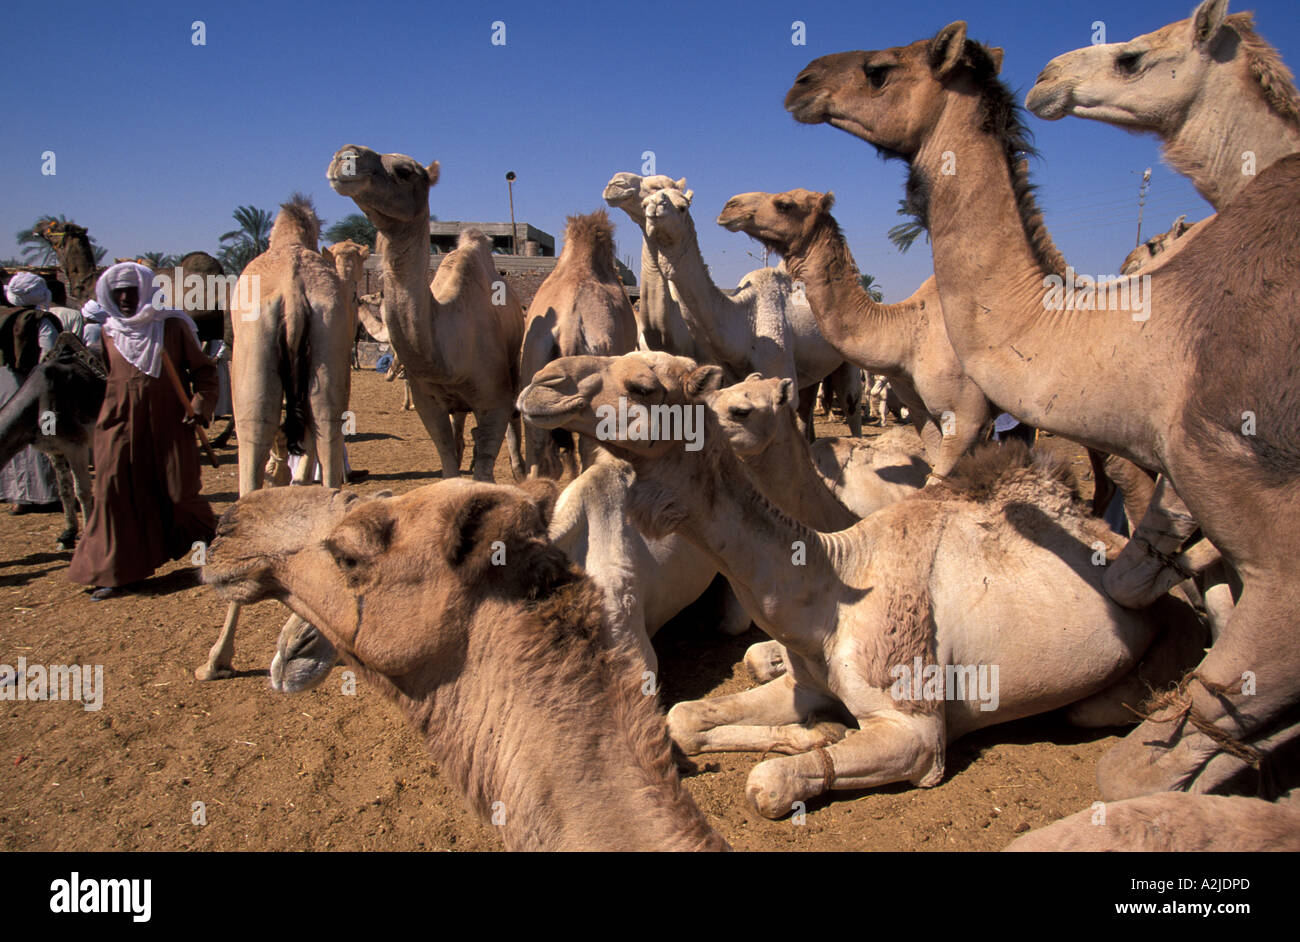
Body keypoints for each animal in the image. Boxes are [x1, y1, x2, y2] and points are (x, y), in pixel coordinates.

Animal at [195, 195, 351, 681]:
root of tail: (295, 292)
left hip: (252, 385)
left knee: (247, 487)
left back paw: (217, 657)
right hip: (329, 362)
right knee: (330, 470)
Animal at [327, 144, 524, 483]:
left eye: (405, 171)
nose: (345, 157)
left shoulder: (494, 398)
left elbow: (485, 467)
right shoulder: (429, 403)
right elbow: (447, 459)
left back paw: (519, 468)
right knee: (460, 427)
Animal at [518, 353, 1208, 817]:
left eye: (642, 385)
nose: (540, 383)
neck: (834, 585)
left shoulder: (915, 729)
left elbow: (769, 782)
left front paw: (814, 742)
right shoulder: (803, 680)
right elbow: (685, 716)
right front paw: (815, 729)